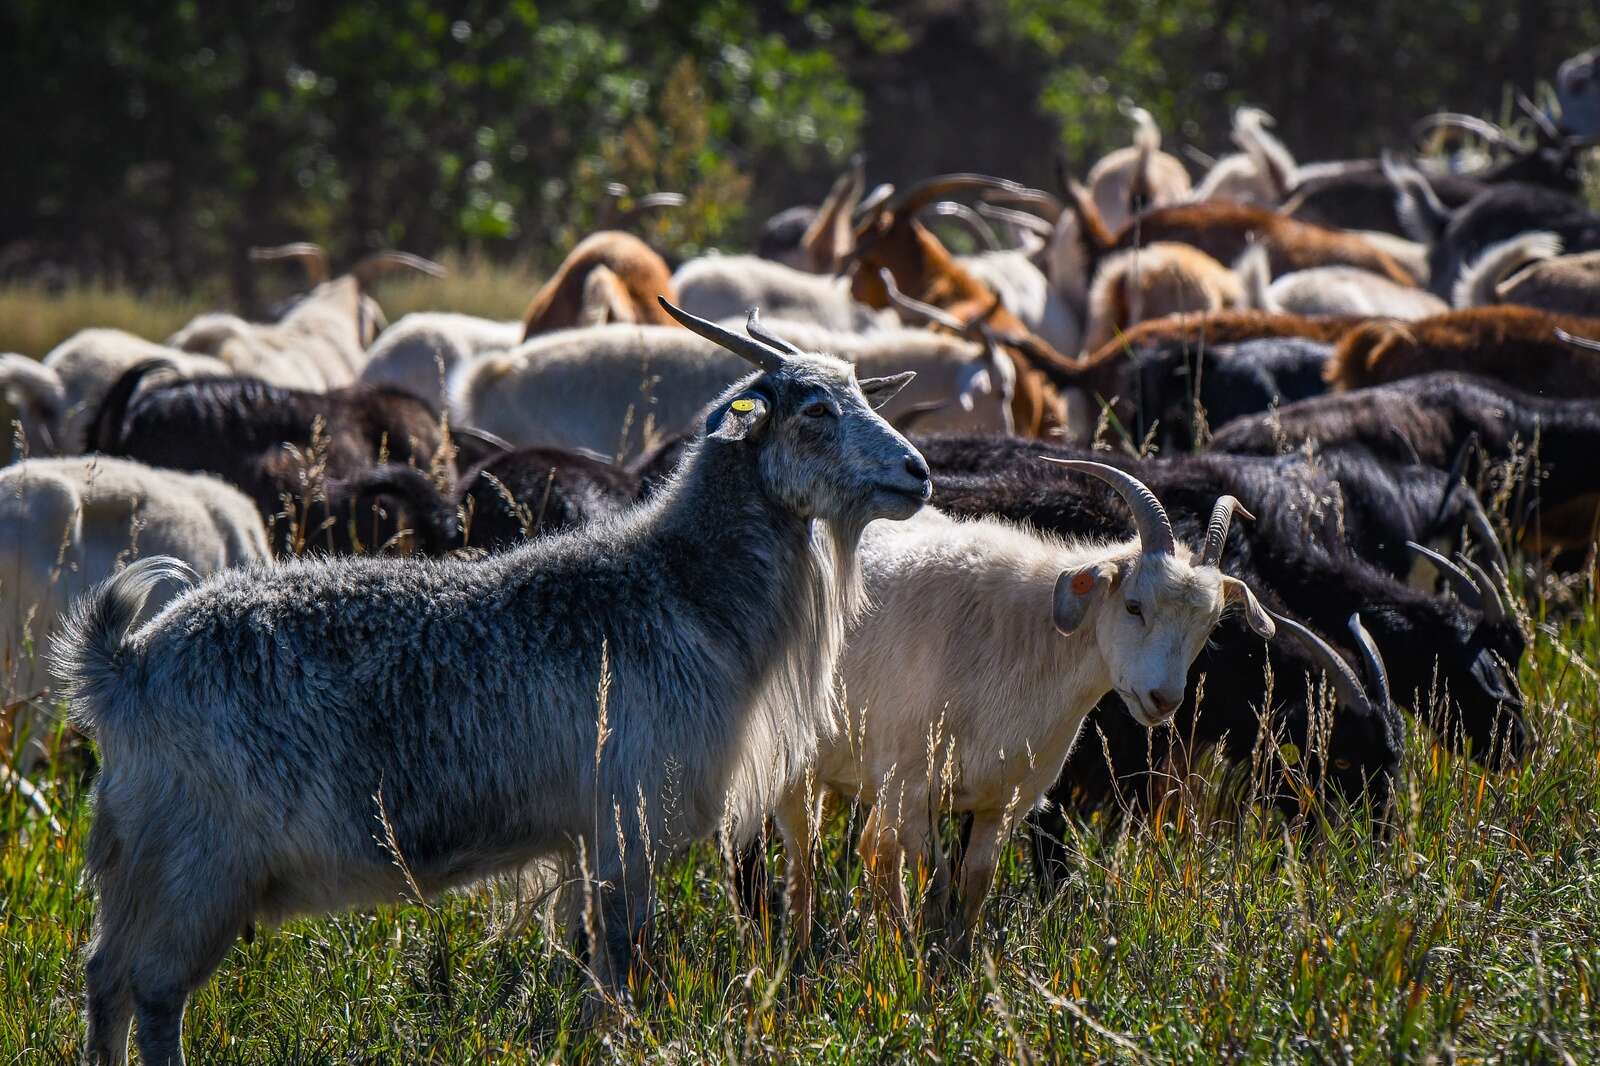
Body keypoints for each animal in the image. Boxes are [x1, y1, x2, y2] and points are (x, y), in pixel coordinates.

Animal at [55, 300, 931, 1065]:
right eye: (815, 407)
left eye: (861, 393)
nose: (918, 472)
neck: (678, 585)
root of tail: (126, 664)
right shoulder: (626, 823)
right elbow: (622, 962)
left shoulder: (585, 836)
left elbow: (587, 968)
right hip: (198, 866)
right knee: (155, 992)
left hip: (138, 866)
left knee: (105, 979)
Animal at [777, 463, 1270, 958]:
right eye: (1134, 606)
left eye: (1209, 625)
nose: (1163, 700)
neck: (1021, 639)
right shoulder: (913, 789)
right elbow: (937, 884)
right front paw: (928, 965)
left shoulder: (1003, 801)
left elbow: (974, 884)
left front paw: (956, 962)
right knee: (806, 856)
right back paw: (801, 954)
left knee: (868, 850)